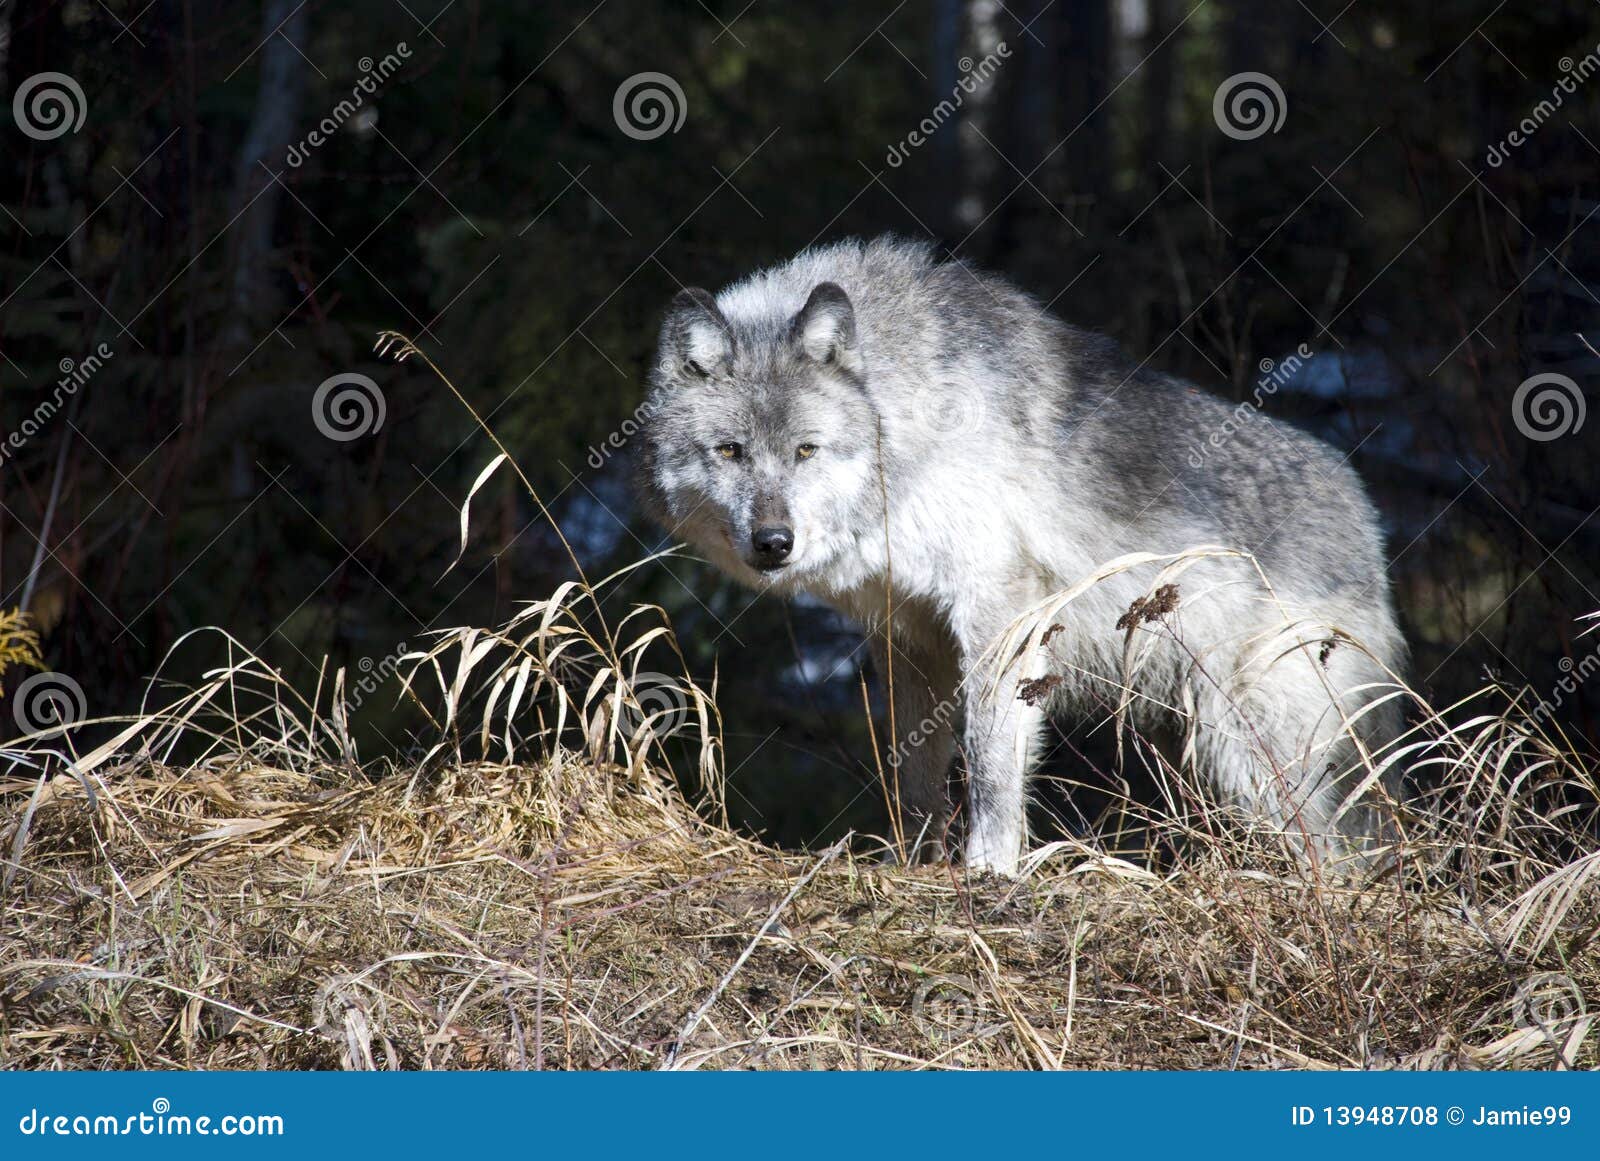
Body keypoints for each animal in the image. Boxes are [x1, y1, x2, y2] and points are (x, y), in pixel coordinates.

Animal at [636, 236, 1405, 875]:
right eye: (730, 451)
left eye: (805, 450)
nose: (774, 541)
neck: (910, 418)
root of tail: (1369, 528)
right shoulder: (908, 632)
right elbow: (916, 769)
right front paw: (913, 865)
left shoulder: (998, 612)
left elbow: (989, 763)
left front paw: (991, 871)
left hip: (1248, 746)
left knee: (1337, 855)